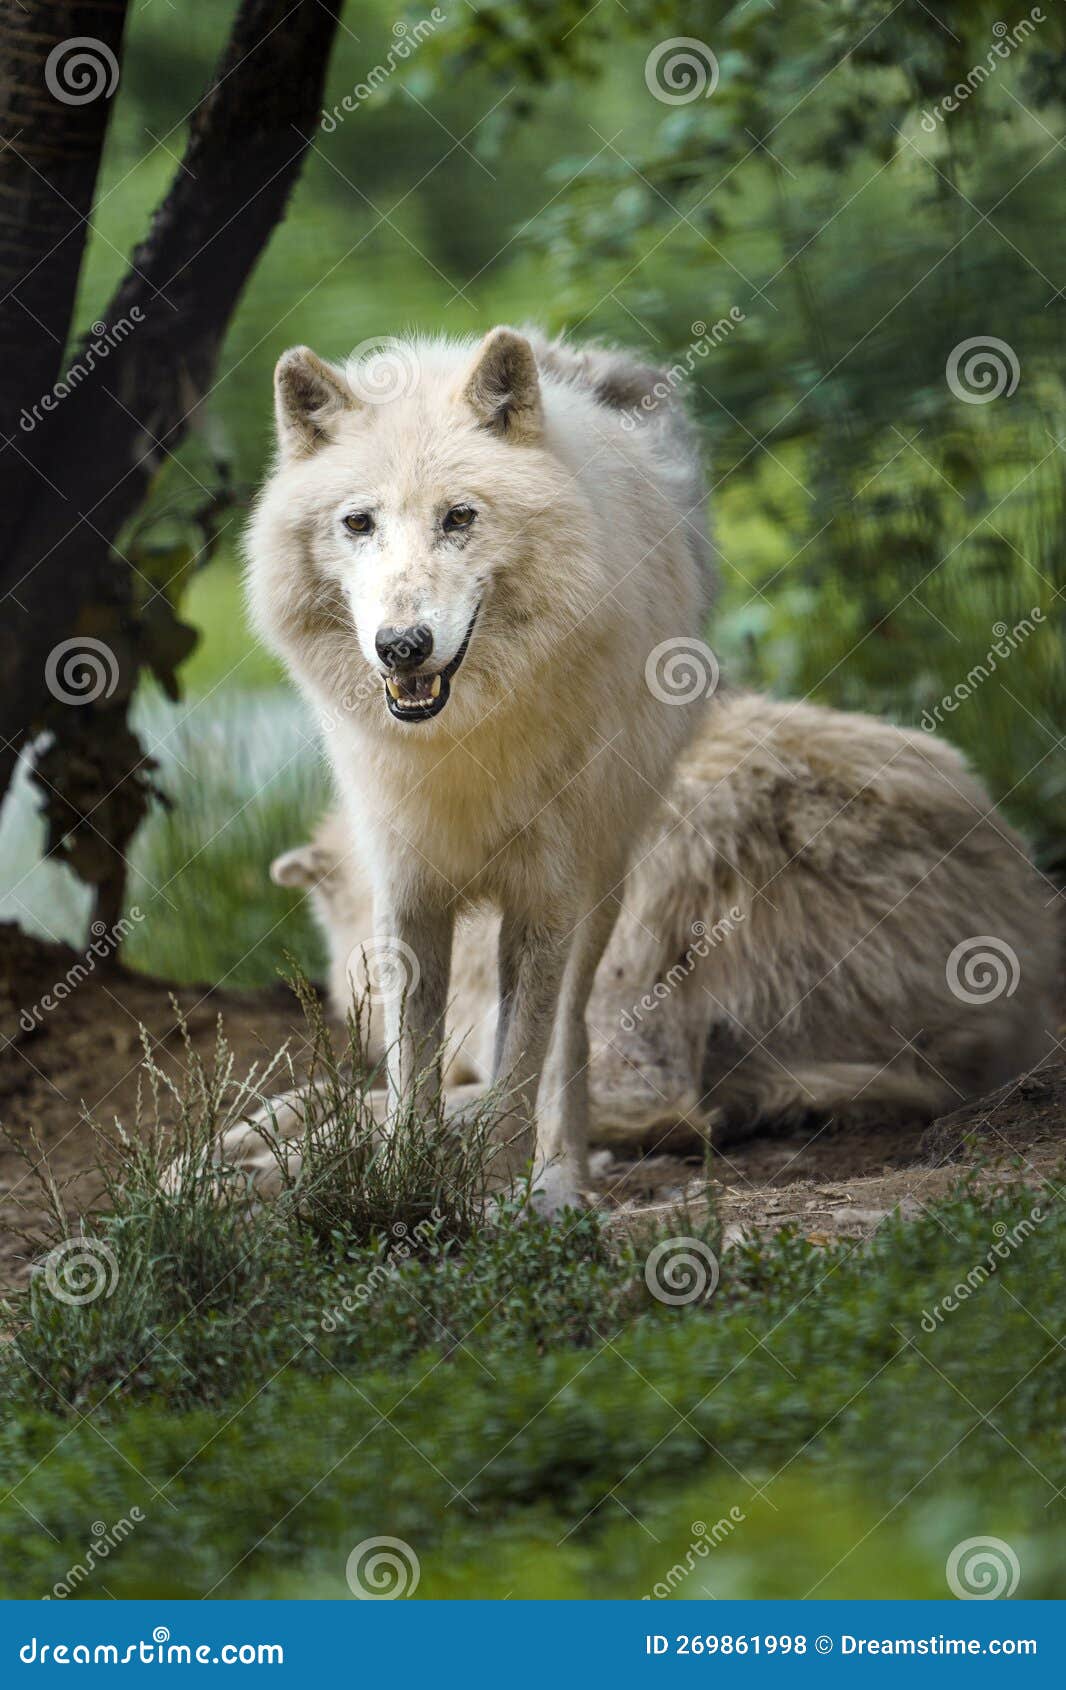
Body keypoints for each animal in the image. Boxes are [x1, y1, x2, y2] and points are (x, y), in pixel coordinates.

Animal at [245, 327, 715, 1211]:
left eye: (459, 518)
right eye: (358, 522)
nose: (402, 646)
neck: (461, 744)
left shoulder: (545, 897)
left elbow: (522, 1064)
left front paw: (497, 1196)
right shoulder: (406, 888)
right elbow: (412, 1071)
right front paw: (403, 1183)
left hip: (602, 883)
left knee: (567, 1041)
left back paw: (561, 1178)